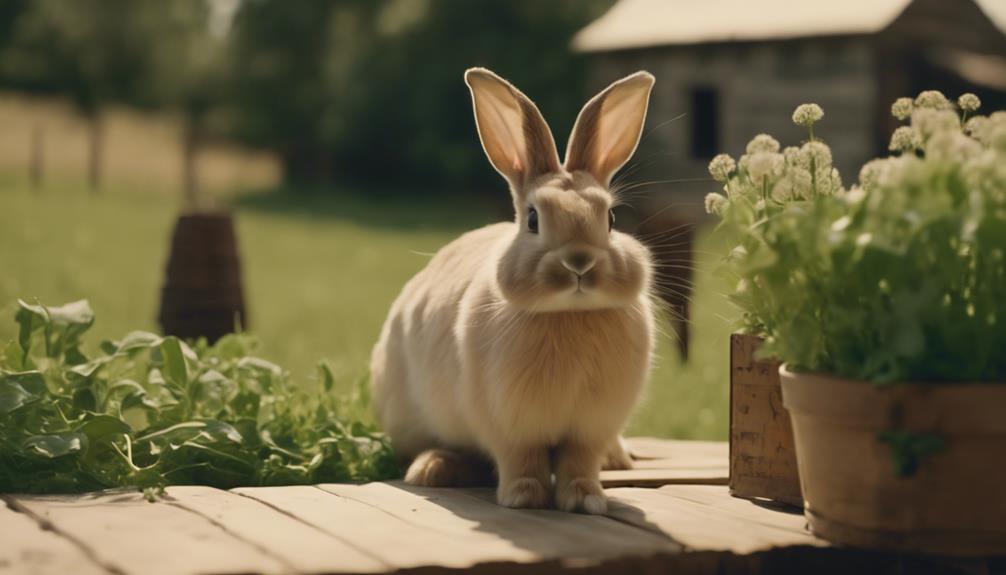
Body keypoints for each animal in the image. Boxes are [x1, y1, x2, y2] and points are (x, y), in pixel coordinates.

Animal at [370, 67, 655, 514]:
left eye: (609, 218)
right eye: (533, 219)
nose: (579, 263)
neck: (569, 316)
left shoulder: (590, 427)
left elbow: (580, 461)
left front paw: (586, 499)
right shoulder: (507, 423)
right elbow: (521, 459)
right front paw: (524, 497)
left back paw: (617, 460)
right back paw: (433, 469)